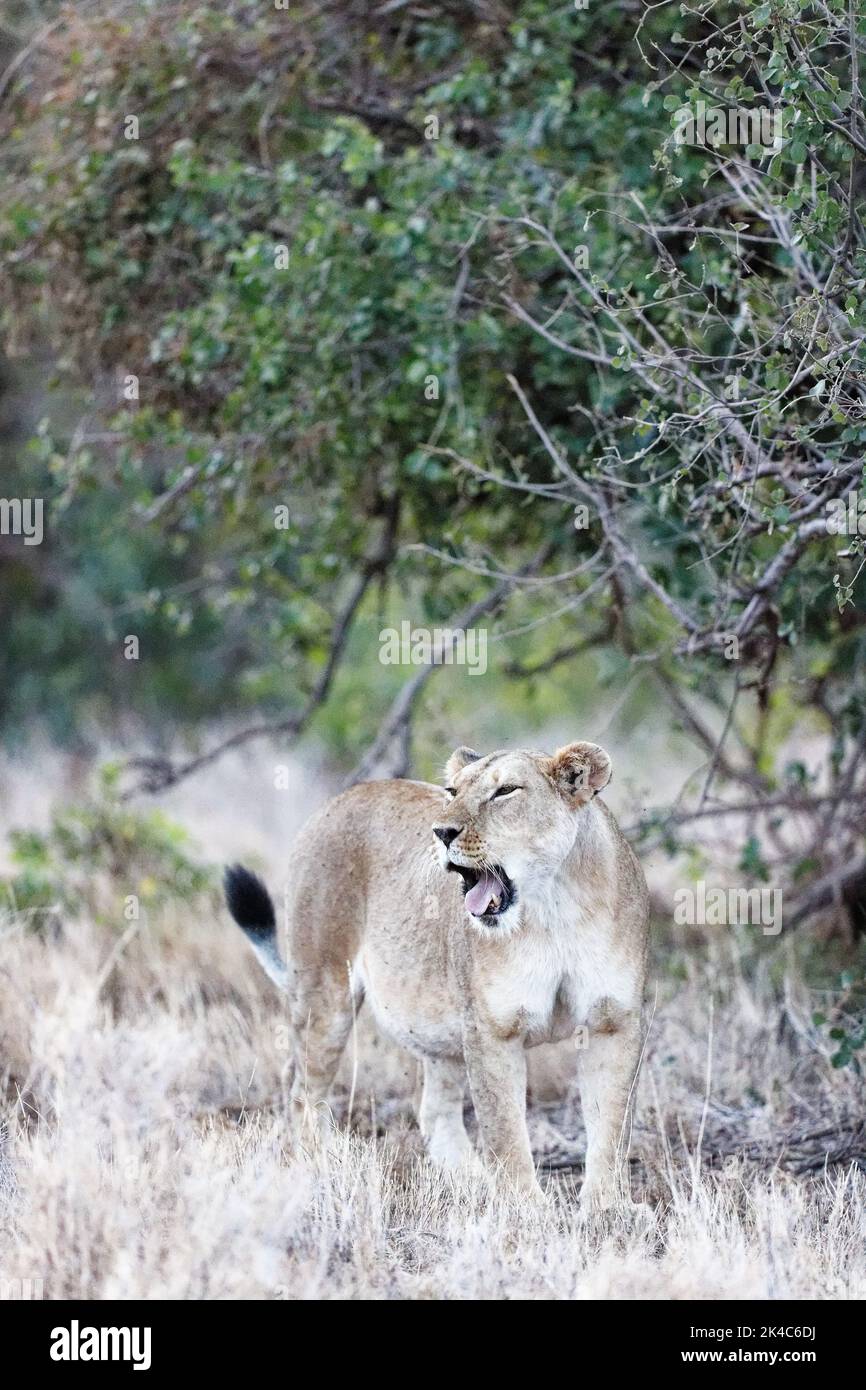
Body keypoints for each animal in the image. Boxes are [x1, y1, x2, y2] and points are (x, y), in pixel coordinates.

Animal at [224, 740, 649, 1208]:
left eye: (505, 791)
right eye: (453, 791)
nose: (442, 832)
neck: (554, 909)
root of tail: (342, 798)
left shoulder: (615, 1022)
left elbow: (611, 1124)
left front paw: (605, 1207)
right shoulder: (491, 1030)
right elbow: (505, 1130)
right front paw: (526, 1208)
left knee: (433, 1110)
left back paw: (470, 1181)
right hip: (326, 993)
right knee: (302, 1089)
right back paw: (318, 1165)